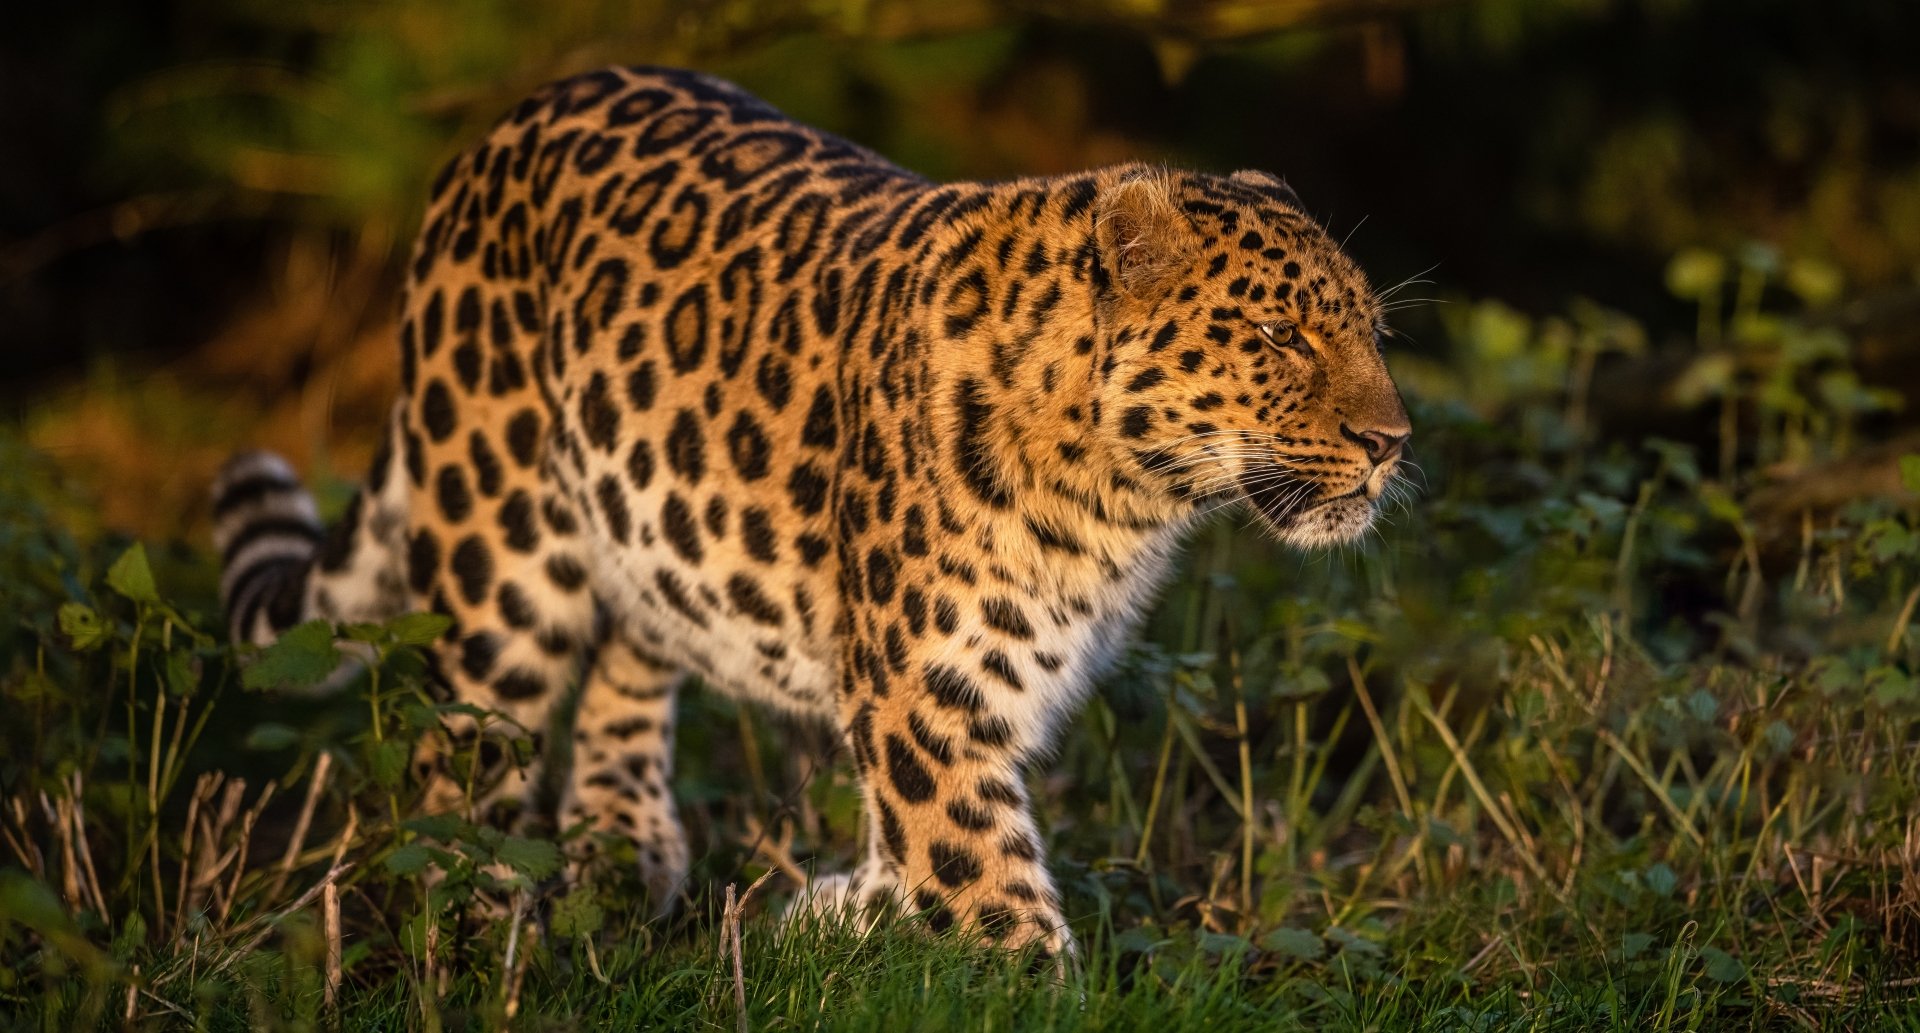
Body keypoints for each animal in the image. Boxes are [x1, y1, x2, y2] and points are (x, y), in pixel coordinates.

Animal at [210, 65, 1411, 958]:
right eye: (1278, 338)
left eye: (1371, 330)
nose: (1392, 441)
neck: (1119, 495)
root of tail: (498, 129)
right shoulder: (930, 695)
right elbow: (988, 887)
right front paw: (1021, 975)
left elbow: (918, 853)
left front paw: (827, 914)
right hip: (498, 556)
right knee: (459, 760)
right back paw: (483, 929)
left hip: (650, 518)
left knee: (631, 653)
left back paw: (623, 849)